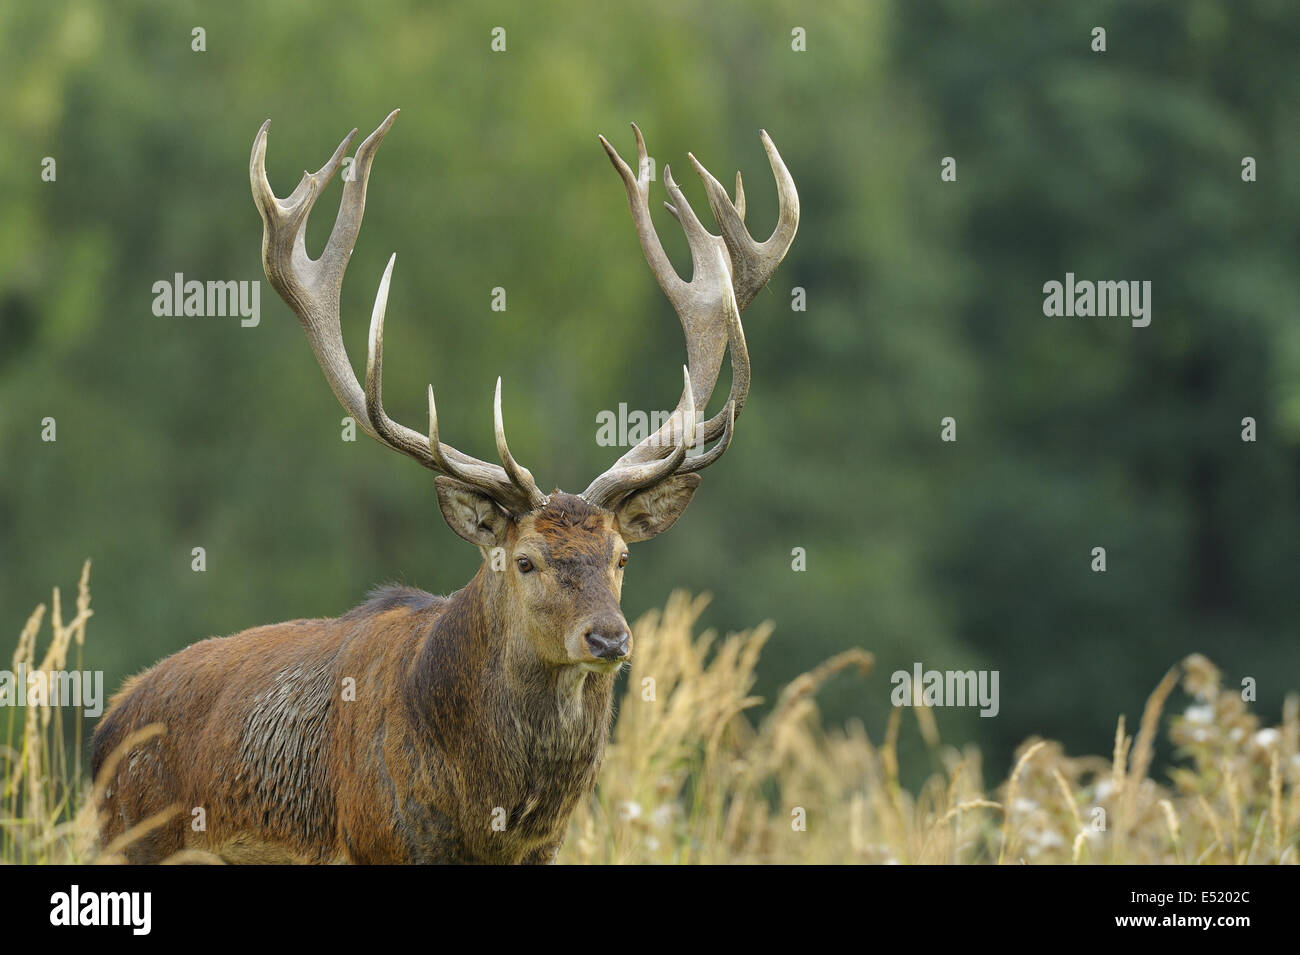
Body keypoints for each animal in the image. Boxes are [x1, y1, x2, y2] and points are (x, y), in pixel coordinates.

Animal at [90, 110, 797, 864]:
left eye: (621, 557)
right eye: (525, 561)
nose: (608, 637)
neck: (489, 816)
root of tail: (104, 729)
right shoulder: (377, 840)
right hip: (127, 838)